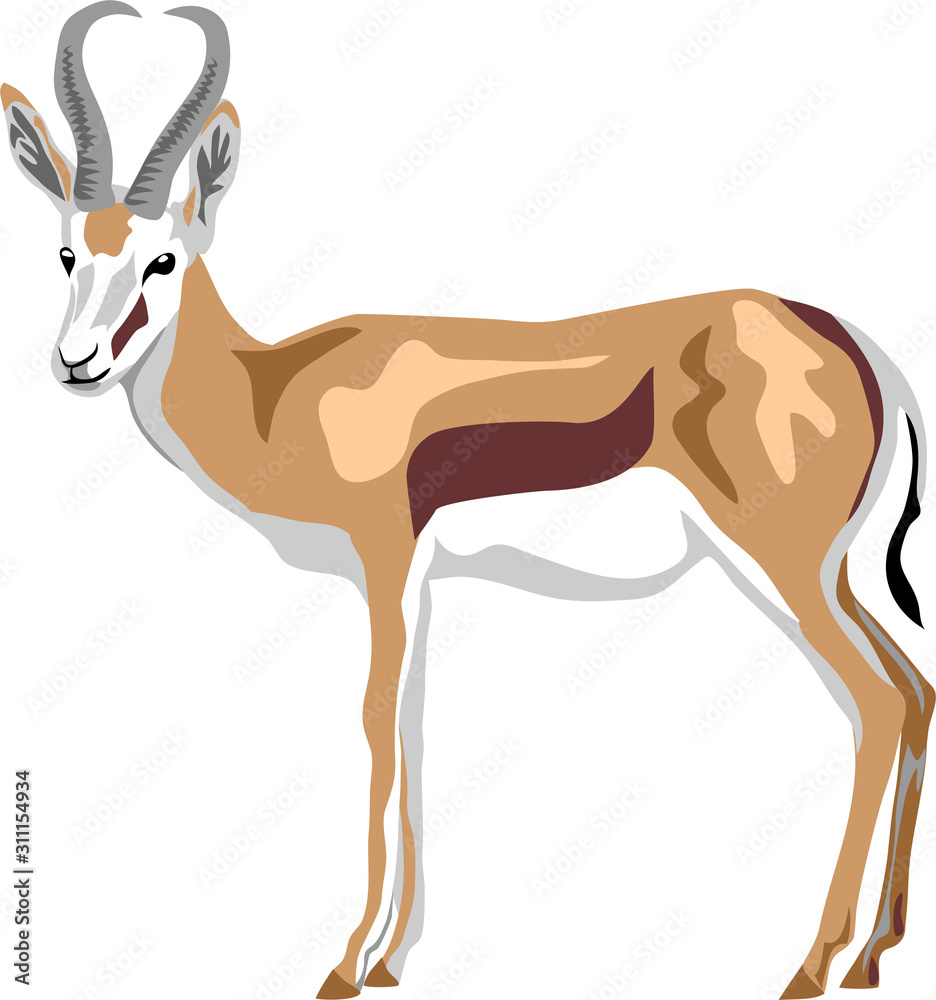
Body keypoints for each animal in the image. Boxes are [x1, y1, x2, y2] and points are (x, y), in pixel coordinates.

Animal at [4, 3, 931, 997]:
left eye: (164, 261)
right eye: (67, 251)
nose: (77, 362)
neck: (279, 393)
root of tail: (856, 345)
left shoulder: (383, 561)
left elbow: (376, 720)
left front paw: (345, 963)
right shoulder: (419, 580)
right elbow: (412, 725)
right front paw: (391, 960)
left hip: (782, 565)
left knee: (875, 706)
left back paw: (813, 964)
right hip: (834, 574)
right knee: (915, 690)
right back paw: (874, 954)